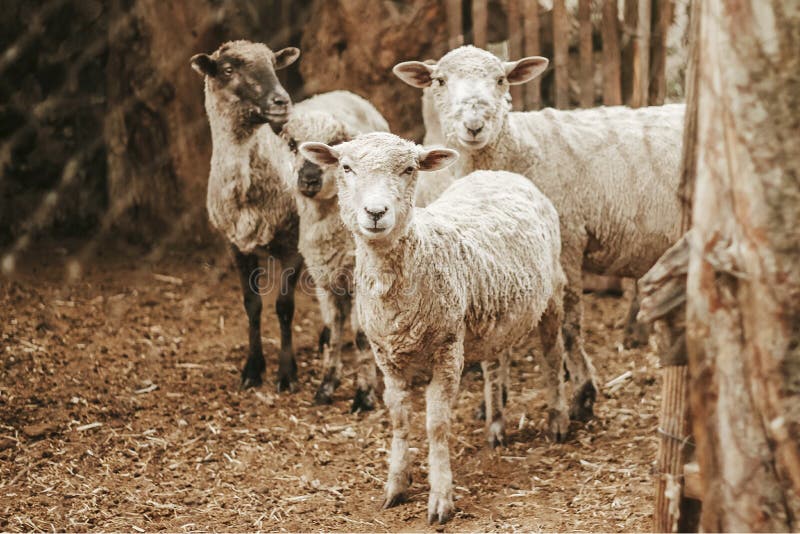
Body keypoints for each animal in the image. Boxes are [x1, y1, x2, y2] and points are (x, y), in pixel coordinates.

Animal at [191, 40, 304, 391]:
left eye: (273, 65)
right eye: (228, 70)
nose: (281, 101)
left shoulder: (293, 243)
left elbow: (284, 307)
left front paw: (287, 374)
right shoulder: (236, 245)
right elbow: (252, 305)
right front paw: (253, 370)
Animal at [280, 91, 389, 410]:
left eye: (336, 143)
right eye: (292, 143)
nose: (309, 179)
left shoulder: (359, 282)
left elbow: (362, 337)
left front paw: (364, 395)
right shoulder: (324, 281)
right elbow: (332, 335)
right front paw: (326, 387)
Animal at [300, 132, 569, 524]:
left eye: (409, 169)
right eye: (346, 167)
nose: (376, 213)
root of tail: (501, 173)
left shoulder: (447, 350)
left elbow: (436, 425)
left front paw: (441, 498)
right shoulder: (386, 358)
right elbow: (399, 419)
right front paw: (396, 485)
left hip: (553, 294)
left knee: (553, 357)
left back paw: (559, 421)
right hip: (494, 312)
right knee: (495, 365)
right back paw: (496, 426)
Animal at [393, 46, 685, 421]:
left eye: (500, 80)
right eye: (439, 81)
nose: (474, 126)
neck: (517, 151)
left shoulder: (569, 242)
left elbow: (570, 326)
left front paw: (582, 395)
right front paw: (494, 402)